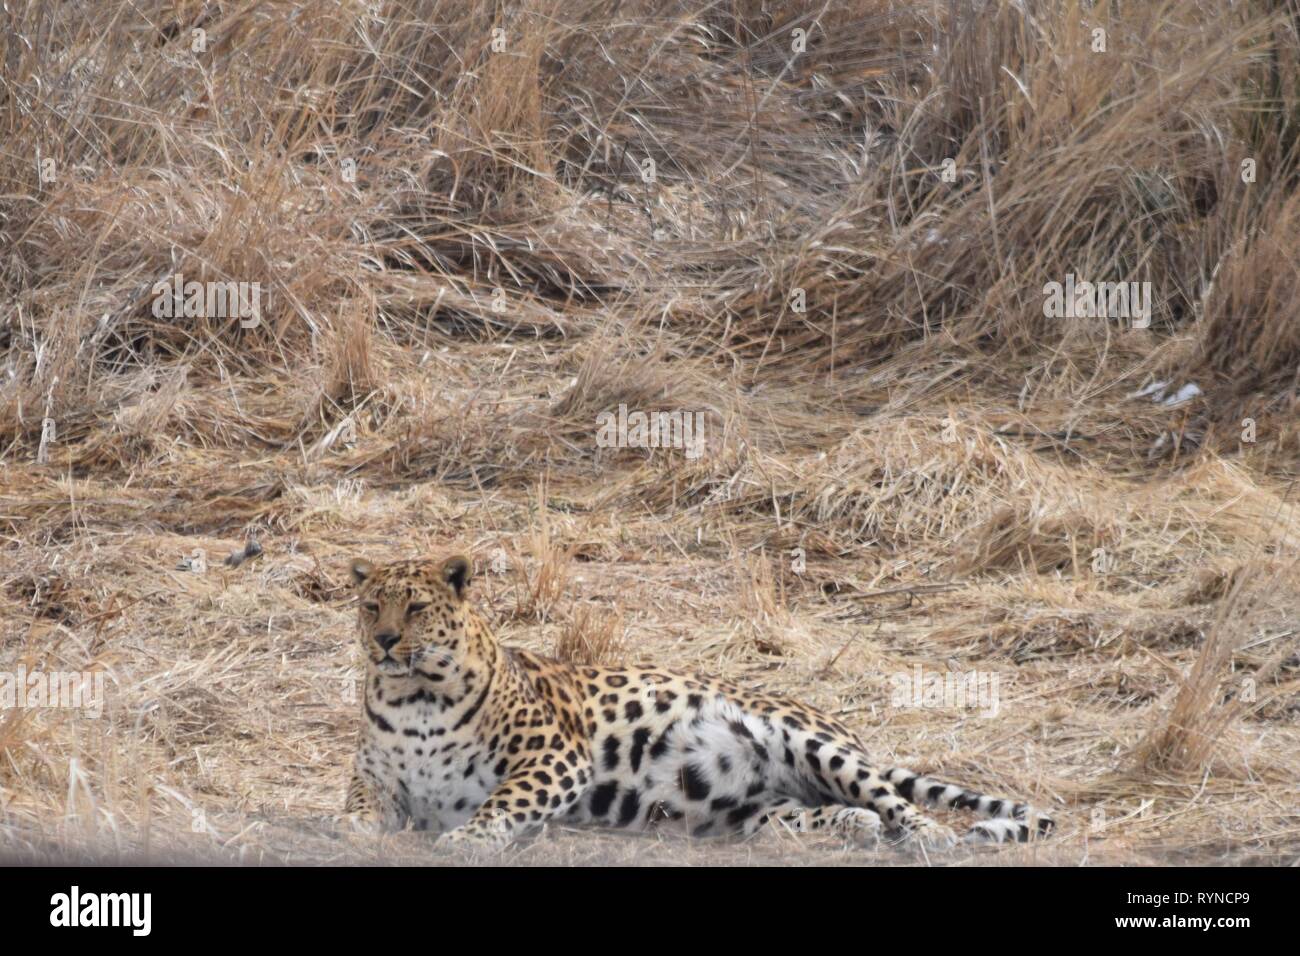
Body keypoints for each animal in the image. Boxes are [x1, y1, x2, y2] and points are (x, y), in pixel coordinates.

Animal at [341, 553, 1054, 852]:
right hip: (749, 812)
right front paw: (343, 829)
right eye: (372, 604)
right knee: (815, 813)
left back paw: (931, 836)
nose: (383, 641)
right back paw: (855, 827)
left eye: (416, 608)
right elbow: (358, 803)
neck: (413, 696)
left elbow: (505, 800)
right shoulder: (375, 775)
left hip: (811, 743)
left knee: (895, 799)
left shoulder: (554, 756)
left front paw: (471, 836)